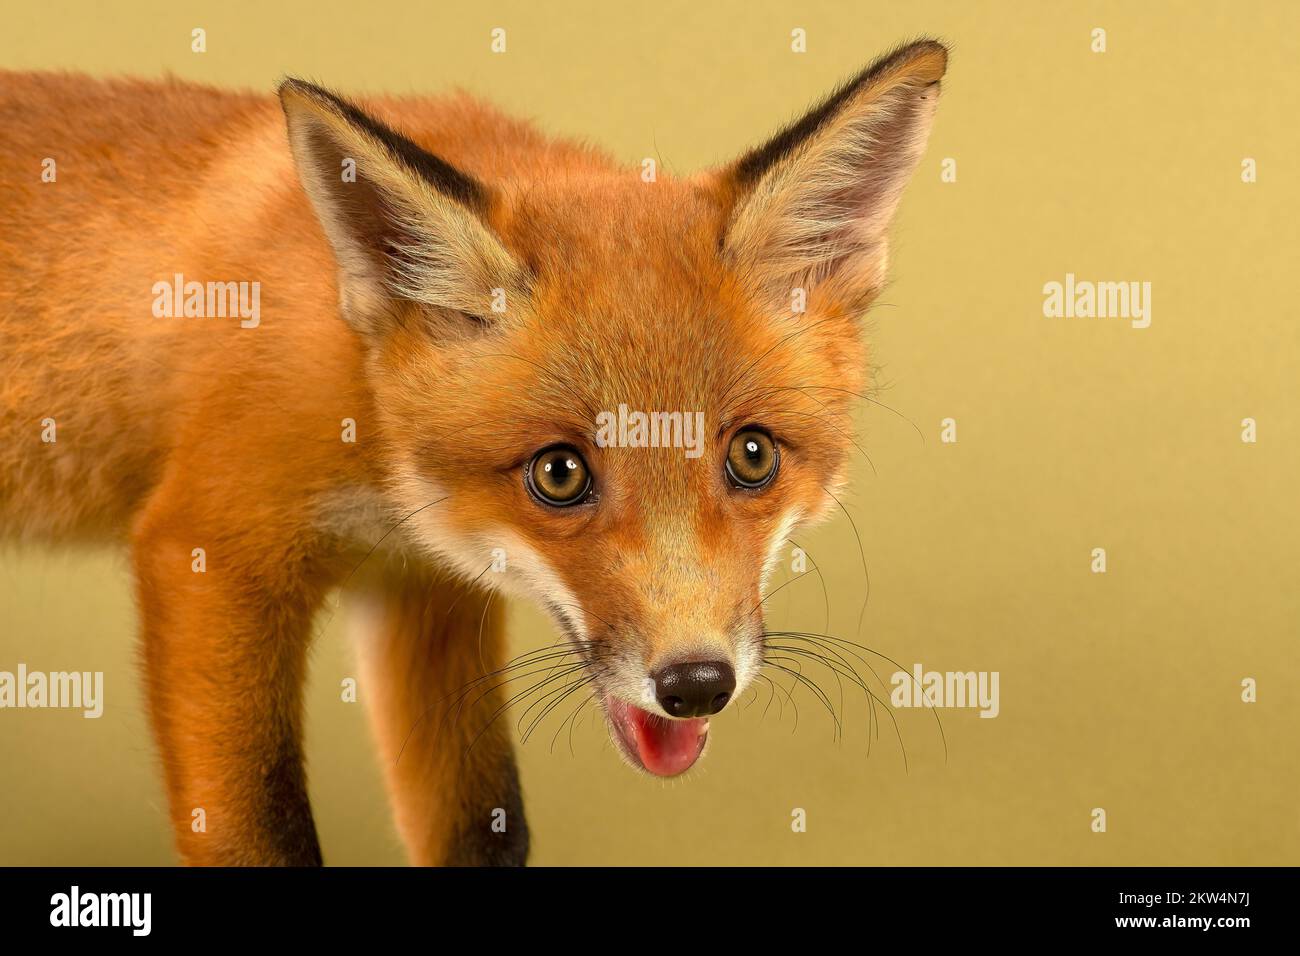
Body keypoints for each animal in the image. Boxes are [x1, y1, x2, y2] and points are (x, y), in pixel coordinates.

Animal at [0, 39, 947, 865]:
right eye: (560, 473)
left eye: (752, 457)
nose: (695, 685)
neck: (369, 403)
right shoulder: (208, 548)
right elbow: (258, 836)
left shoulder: (420, 587)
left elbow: (486, 826)